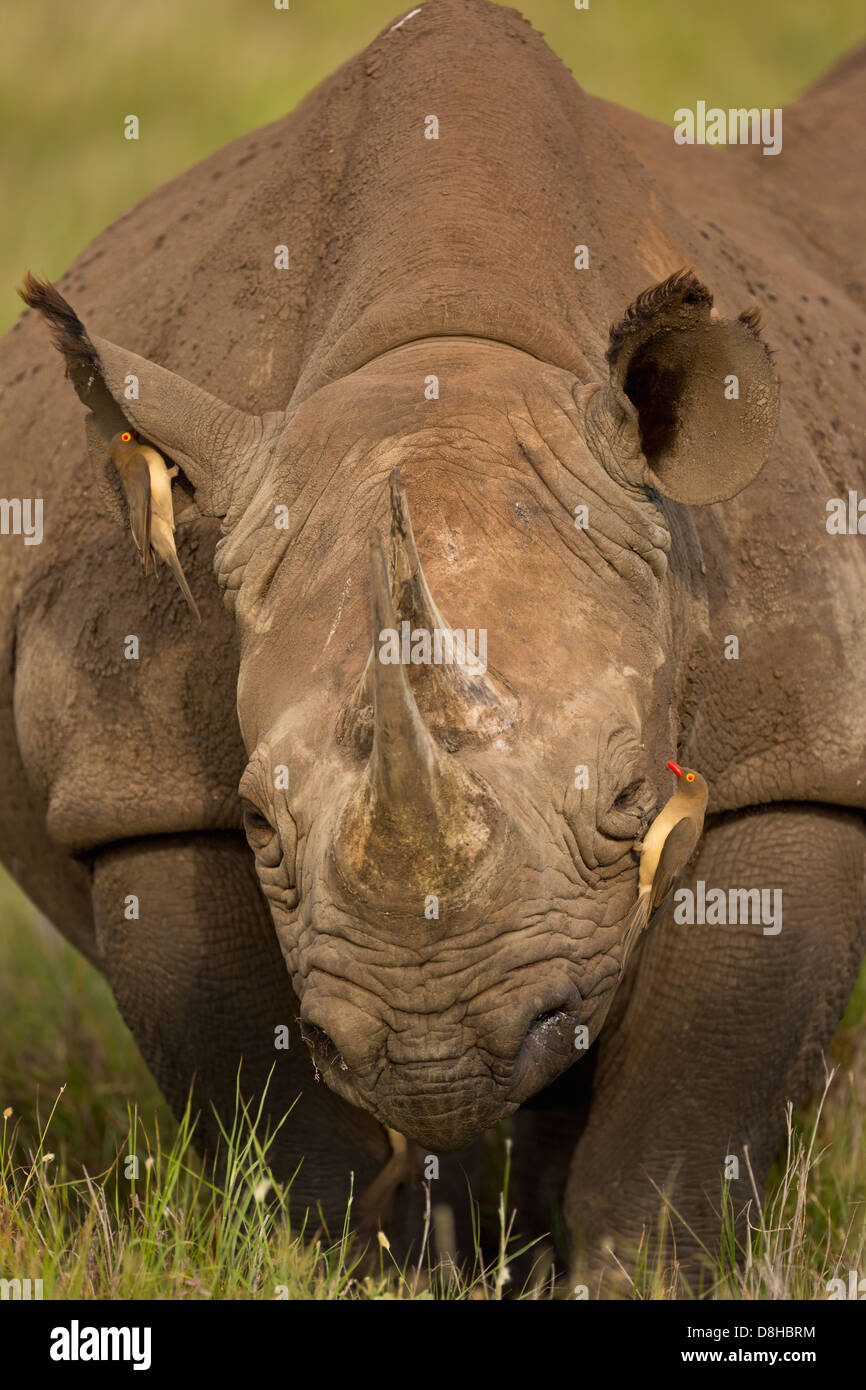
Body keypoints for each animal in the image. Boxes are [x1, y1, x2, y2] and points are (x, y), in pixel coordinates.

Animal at [2, 0, 865, 1282]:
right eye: (257, 819)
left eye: (627, 796)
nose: (431, 1051)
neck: (448, 348)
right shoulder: (140, 784)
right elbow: (280, 1117)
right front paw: (363, 1276)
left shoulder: (797, 751)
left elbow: (688, 1109)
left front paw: (625, 1279)